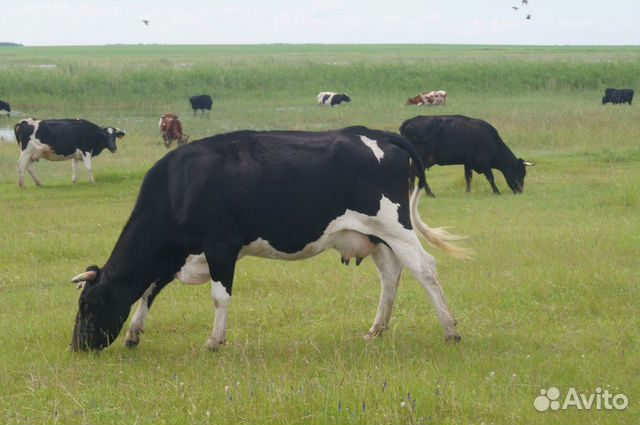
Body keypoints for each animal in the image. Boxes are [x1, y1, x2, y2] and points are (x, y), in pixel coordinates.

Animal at [68, 126, 470, 352]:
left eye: (87, 305)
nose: (76, 347)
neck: (180, 184)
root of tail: (379, 134)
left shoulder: (220, 245)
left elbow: (219, 296)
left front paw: (214, 341)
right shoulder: (177, 253)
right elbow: (150, 290)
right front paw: (134, 333)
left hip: (393, 226)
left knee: (425, 268)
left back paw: (450, 330)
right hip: (373, 235)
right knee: (391, 274)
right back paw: (376, 329)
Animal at [400, 115, 534, 196]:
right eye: (520, 173)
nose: (519, 190)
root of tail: (411, 120)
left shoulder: (468, 162)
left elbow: (468, 177)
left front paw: (468, 192)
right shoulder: (484, 162)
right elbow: (490, 177)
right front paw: (497, 192)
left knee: (412, 173)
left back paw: (411, 192)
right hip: (422, 156)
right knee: (417, 172)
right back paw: (429, 194)